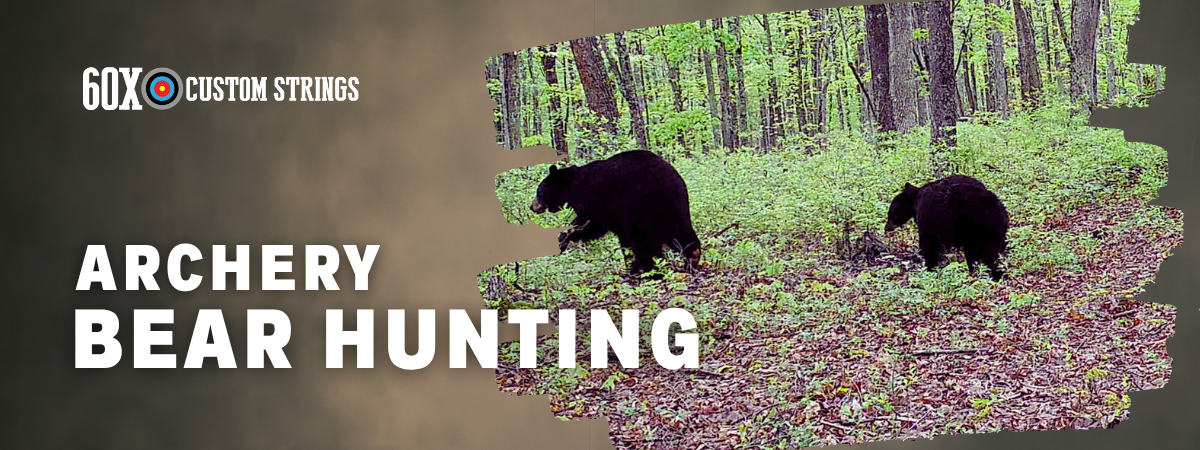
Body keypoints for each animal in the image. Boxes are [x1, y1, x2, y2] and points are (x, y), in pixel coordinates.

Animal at [529, 150, 702, 276]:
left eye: (538, 191)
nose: (531, 206)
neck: (574, 188)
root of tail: (671, 180)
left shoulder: (596, 201)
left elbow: (588, 225)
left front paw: (561, 239)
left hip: (639, 207)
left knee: (643, 240)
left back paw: (647, 268)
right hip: (671, 208)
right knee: (678, 232)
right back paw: (691, 257)